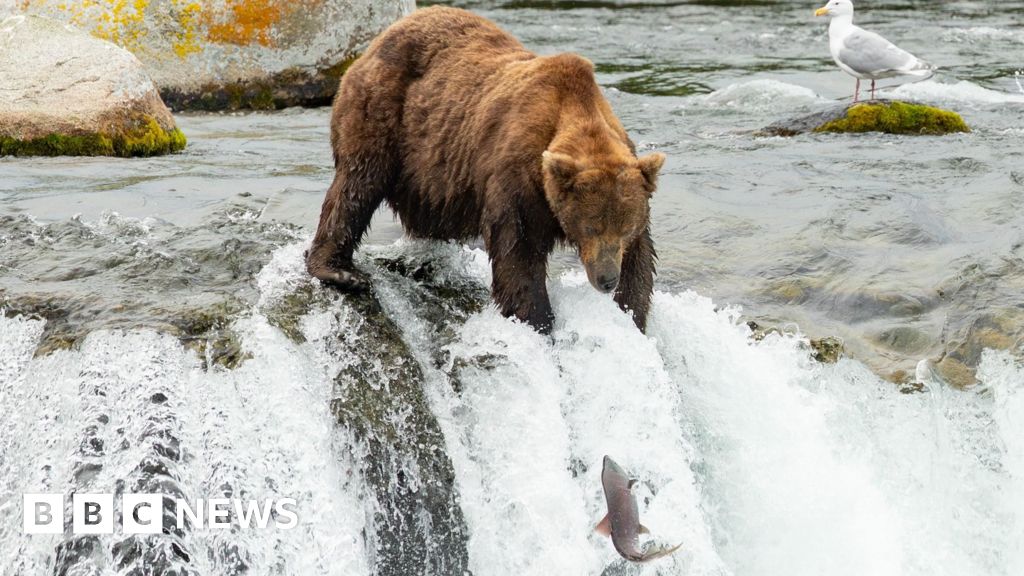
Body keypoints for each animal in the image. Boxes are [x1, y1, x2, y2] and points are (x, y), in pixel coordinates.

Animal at [306, 6, 666, 334]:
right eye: (590, 227)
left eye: (624, 229)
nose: (606, 279)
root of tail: (384, 35)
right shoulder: (519, 175)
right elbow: (519, 249)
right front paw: (537, 320)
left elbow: (641, 259)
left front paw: (631, 314)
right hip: (383, 108)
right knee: (358, 182)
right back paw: (339, 271)